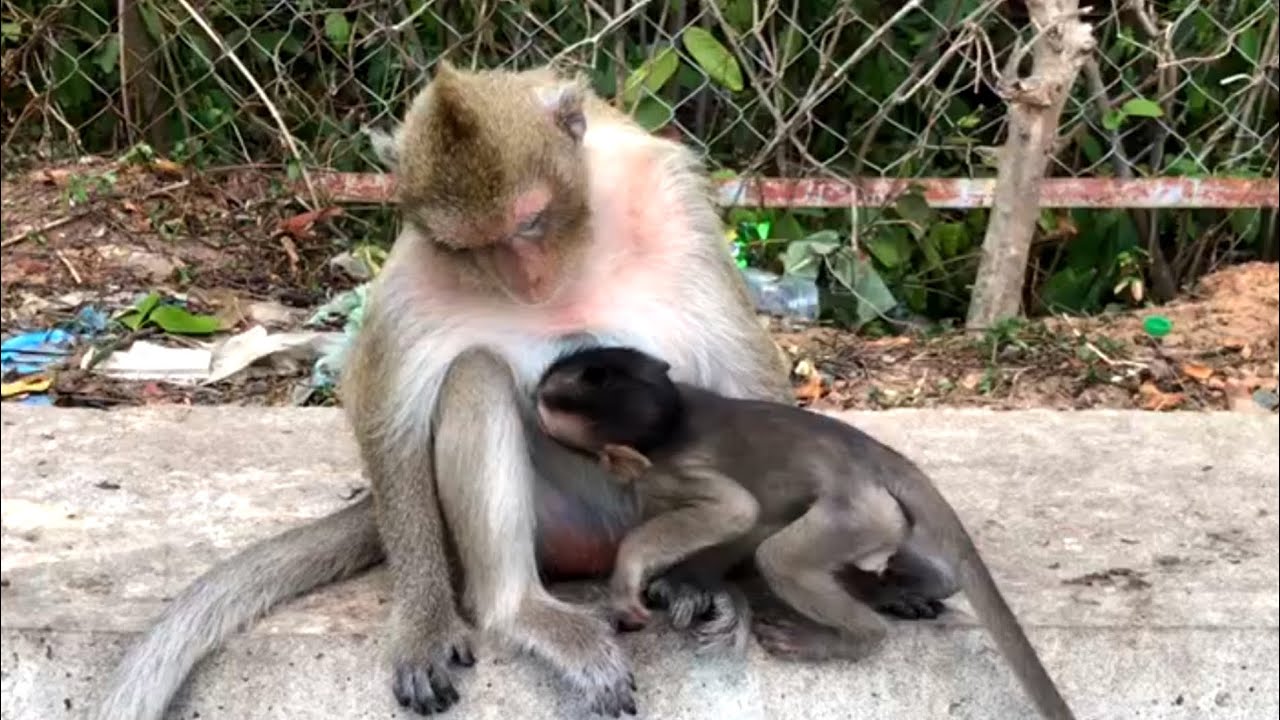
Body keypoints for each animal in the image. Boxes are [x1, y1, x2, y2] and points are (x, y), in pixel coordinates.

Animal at [90, 62, 961, 720]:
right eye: (472, 244)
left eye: (531, 222)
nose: (526, 277)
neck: (577, 244)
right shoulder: (423, 255)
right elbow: (386, 408)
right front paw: (421, 623)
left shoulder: (671, 197)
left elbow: (741, 369)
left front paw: (715, 586)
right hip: (560, 530)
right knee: (473, 376)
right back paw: (524, 611)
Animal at [533, 346, 1077, 720]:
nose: (536, 392)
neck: (674, 420)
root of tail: (874, 455)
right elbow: (749, 520)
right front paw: (694, 583)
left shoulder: (667, 470)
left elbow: (736, 510)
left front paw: (633, 577)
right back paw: (889, 592)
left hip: (861, 513)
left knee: (781, 555)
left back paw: (857, 635)